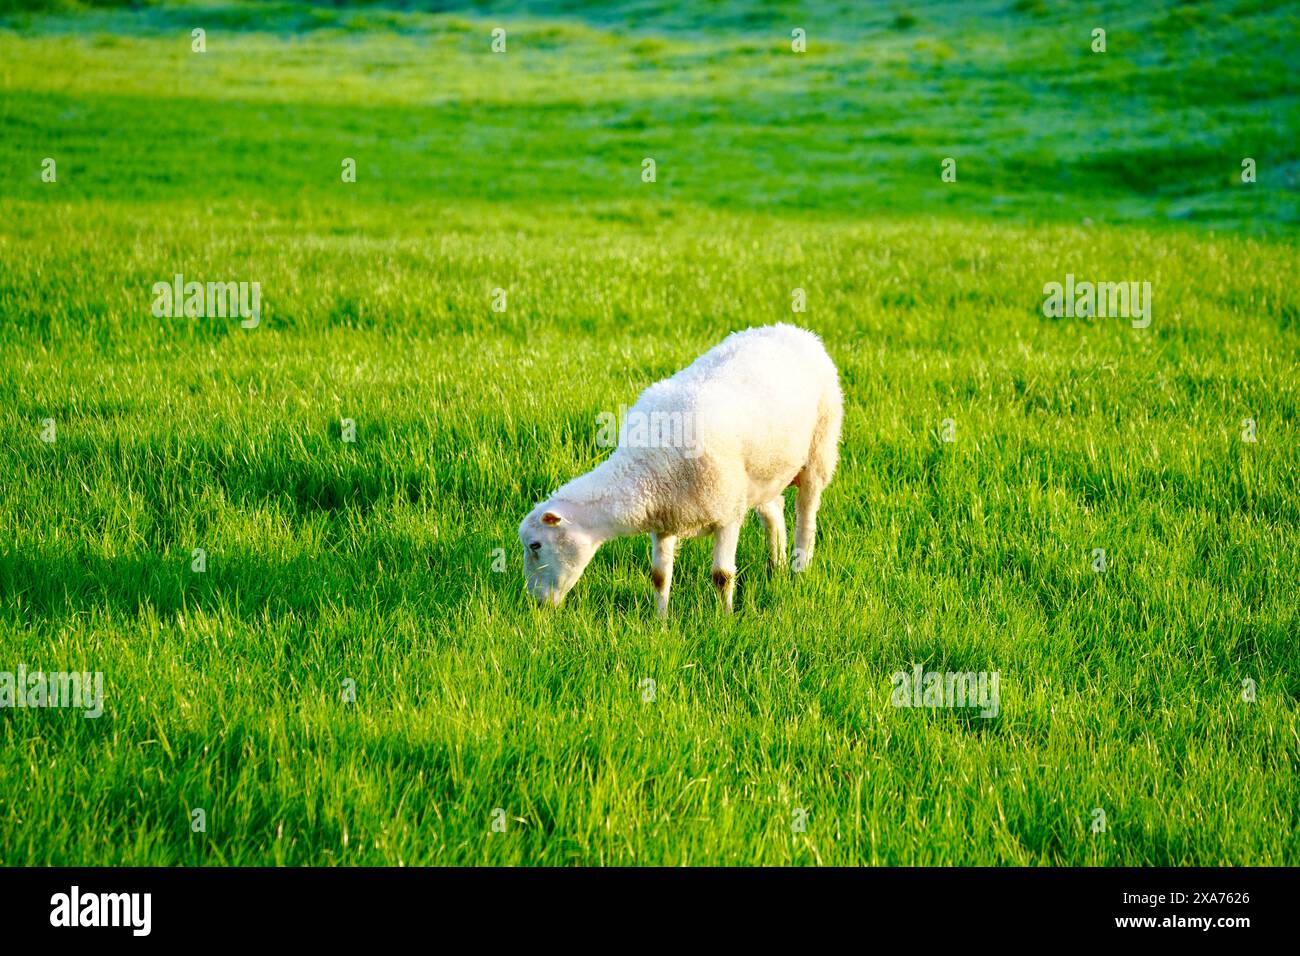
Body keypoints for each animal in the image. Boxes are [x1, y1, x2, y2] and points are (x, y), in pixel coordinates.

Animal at [518, 323, 842, 613]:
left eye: (535, 545)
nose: (536, 604)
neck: (645, 467)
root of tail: (796, 331)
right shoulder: (665, 520)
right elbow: (659, 576)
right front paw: (659, 622)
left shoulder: (727, 512)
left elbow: (722, 576)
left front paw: (724, 620)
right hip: (760, 477)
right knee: (774, 511)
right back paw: (776, 565)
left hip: (819, 452)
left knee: (806, 519)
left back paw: (799, 569)